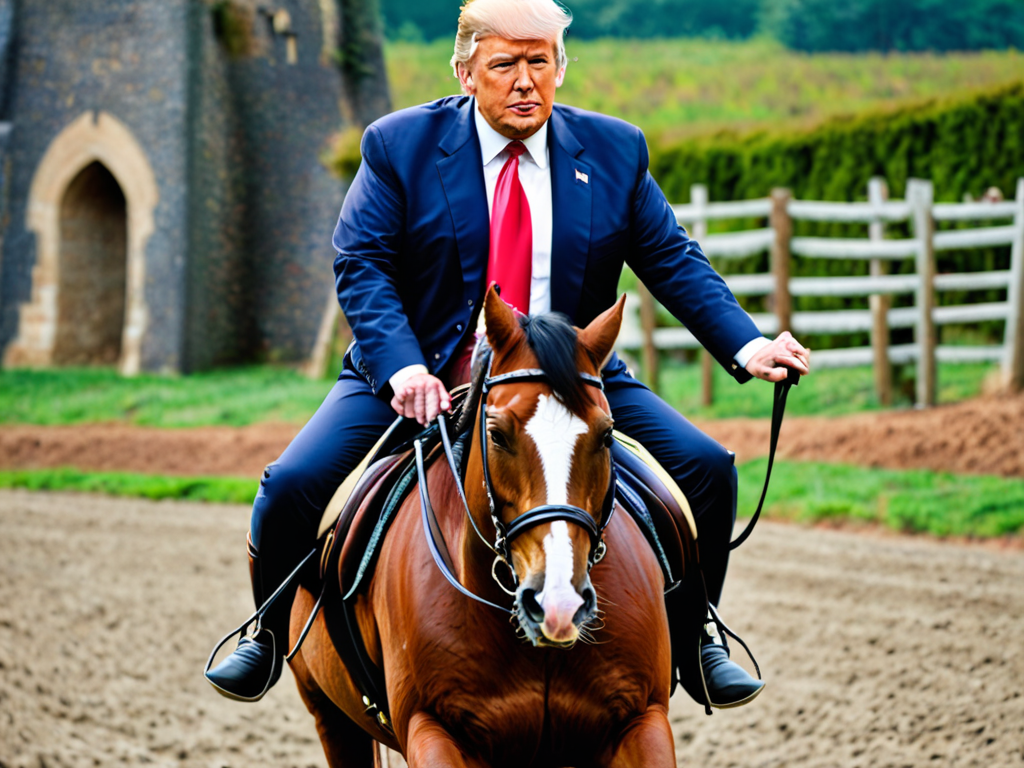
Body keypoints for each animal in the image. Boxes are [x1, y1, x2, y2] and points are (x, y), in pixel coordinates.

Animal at [287, 287, 679, 767]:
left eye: (606, 435)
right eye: (497, 434)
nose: (558, 604)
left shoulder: (642, 719)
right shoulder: (432, 728)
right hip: (331, 717)